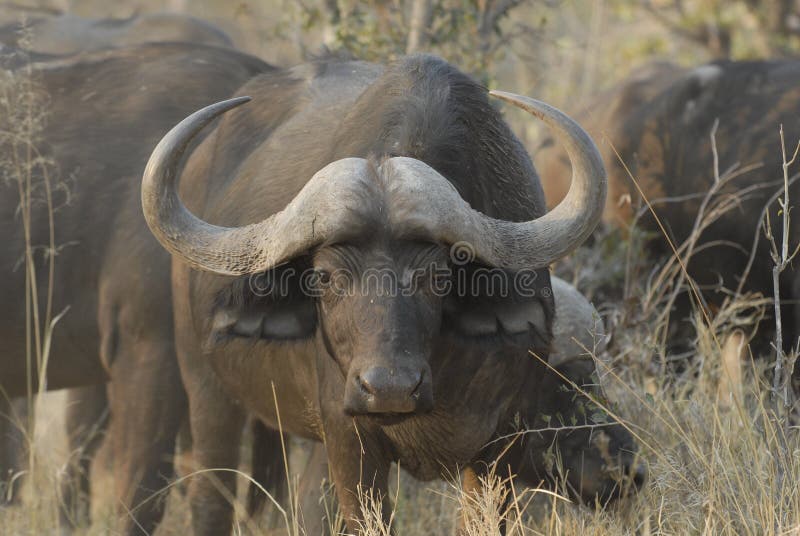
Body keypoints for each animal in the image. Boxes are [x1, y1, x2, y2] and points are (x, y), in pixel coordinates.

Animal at [141, 53, 638, 534]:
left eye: (438, 277)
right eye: (324, 277)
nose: (390, 389)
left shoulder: (499, 448)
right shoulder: (351, 443)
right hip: (206, 390)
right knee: (211, 496)